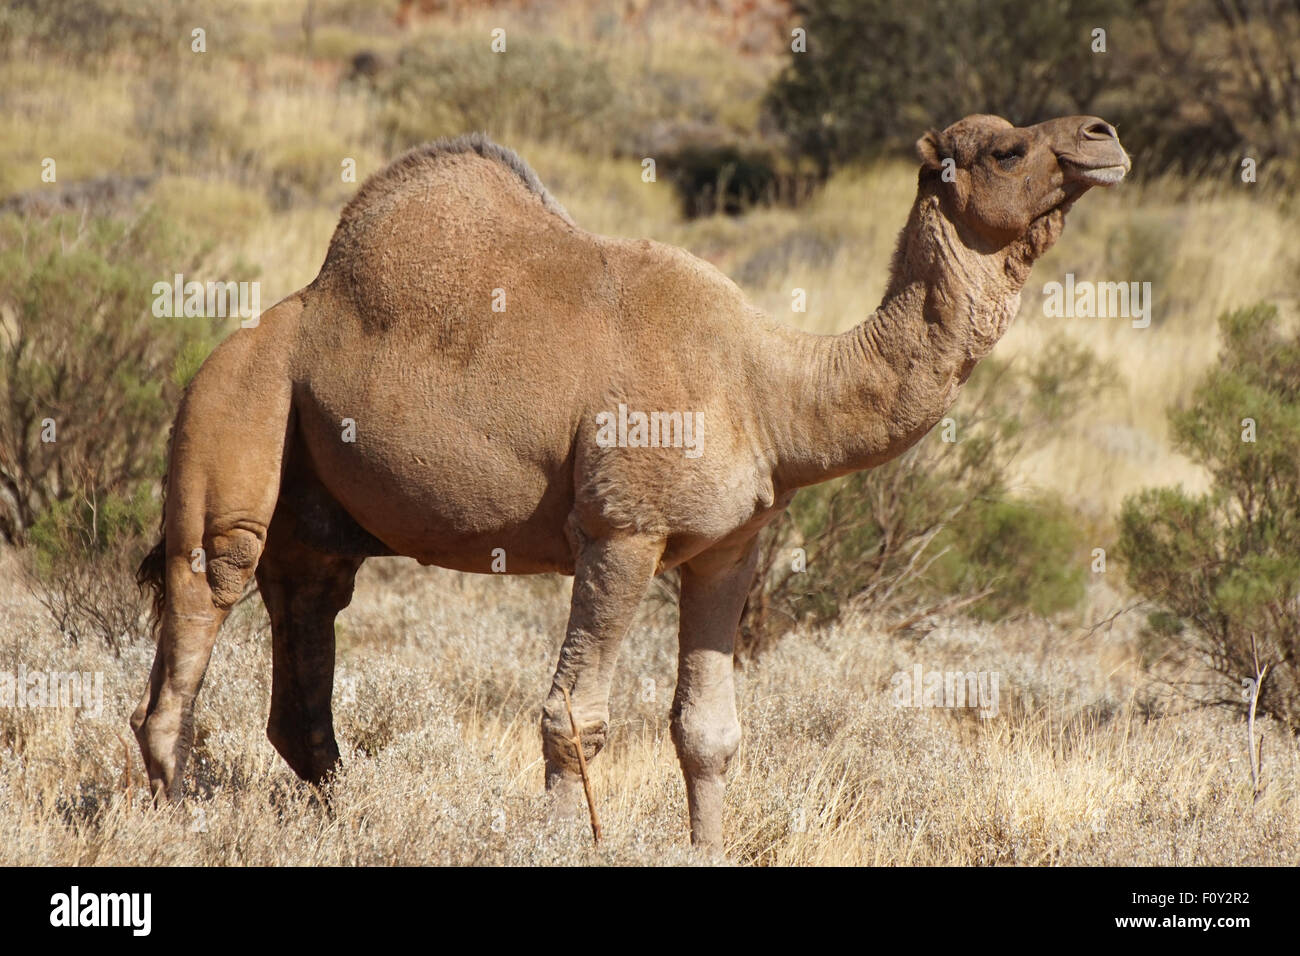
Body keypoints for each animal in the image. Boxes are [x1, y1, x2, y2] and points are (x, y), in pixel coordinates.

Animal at [133, 114, 1129, 848]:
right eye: (1006, 148)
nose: (1104, 135)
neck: (767, 388)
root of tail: (272, 319)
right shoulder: (621, 532)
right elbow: (574, 717)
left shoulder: (729, 549)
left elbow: (708, 732)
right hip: (234, 408)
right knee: (200, 608)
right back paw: (177, 824)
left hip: (317, 517)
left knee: (306, 635)